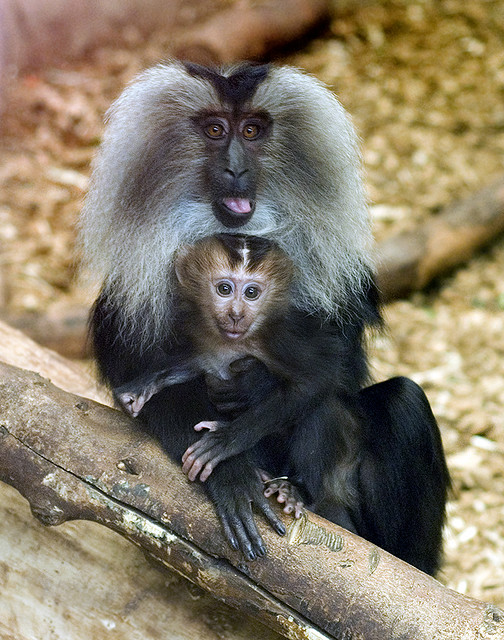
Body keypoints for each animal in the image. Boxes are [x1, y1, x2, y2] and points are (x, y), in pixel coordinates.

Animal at [81, 60, 450, 573]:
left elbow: (332, 373)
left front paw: (252, 388)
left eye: (252, 131)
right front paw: (231, 477)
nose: (236, 169)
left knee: (402, 402)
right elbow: (147, 394)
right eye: (216, 130)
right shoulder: (126, 303)